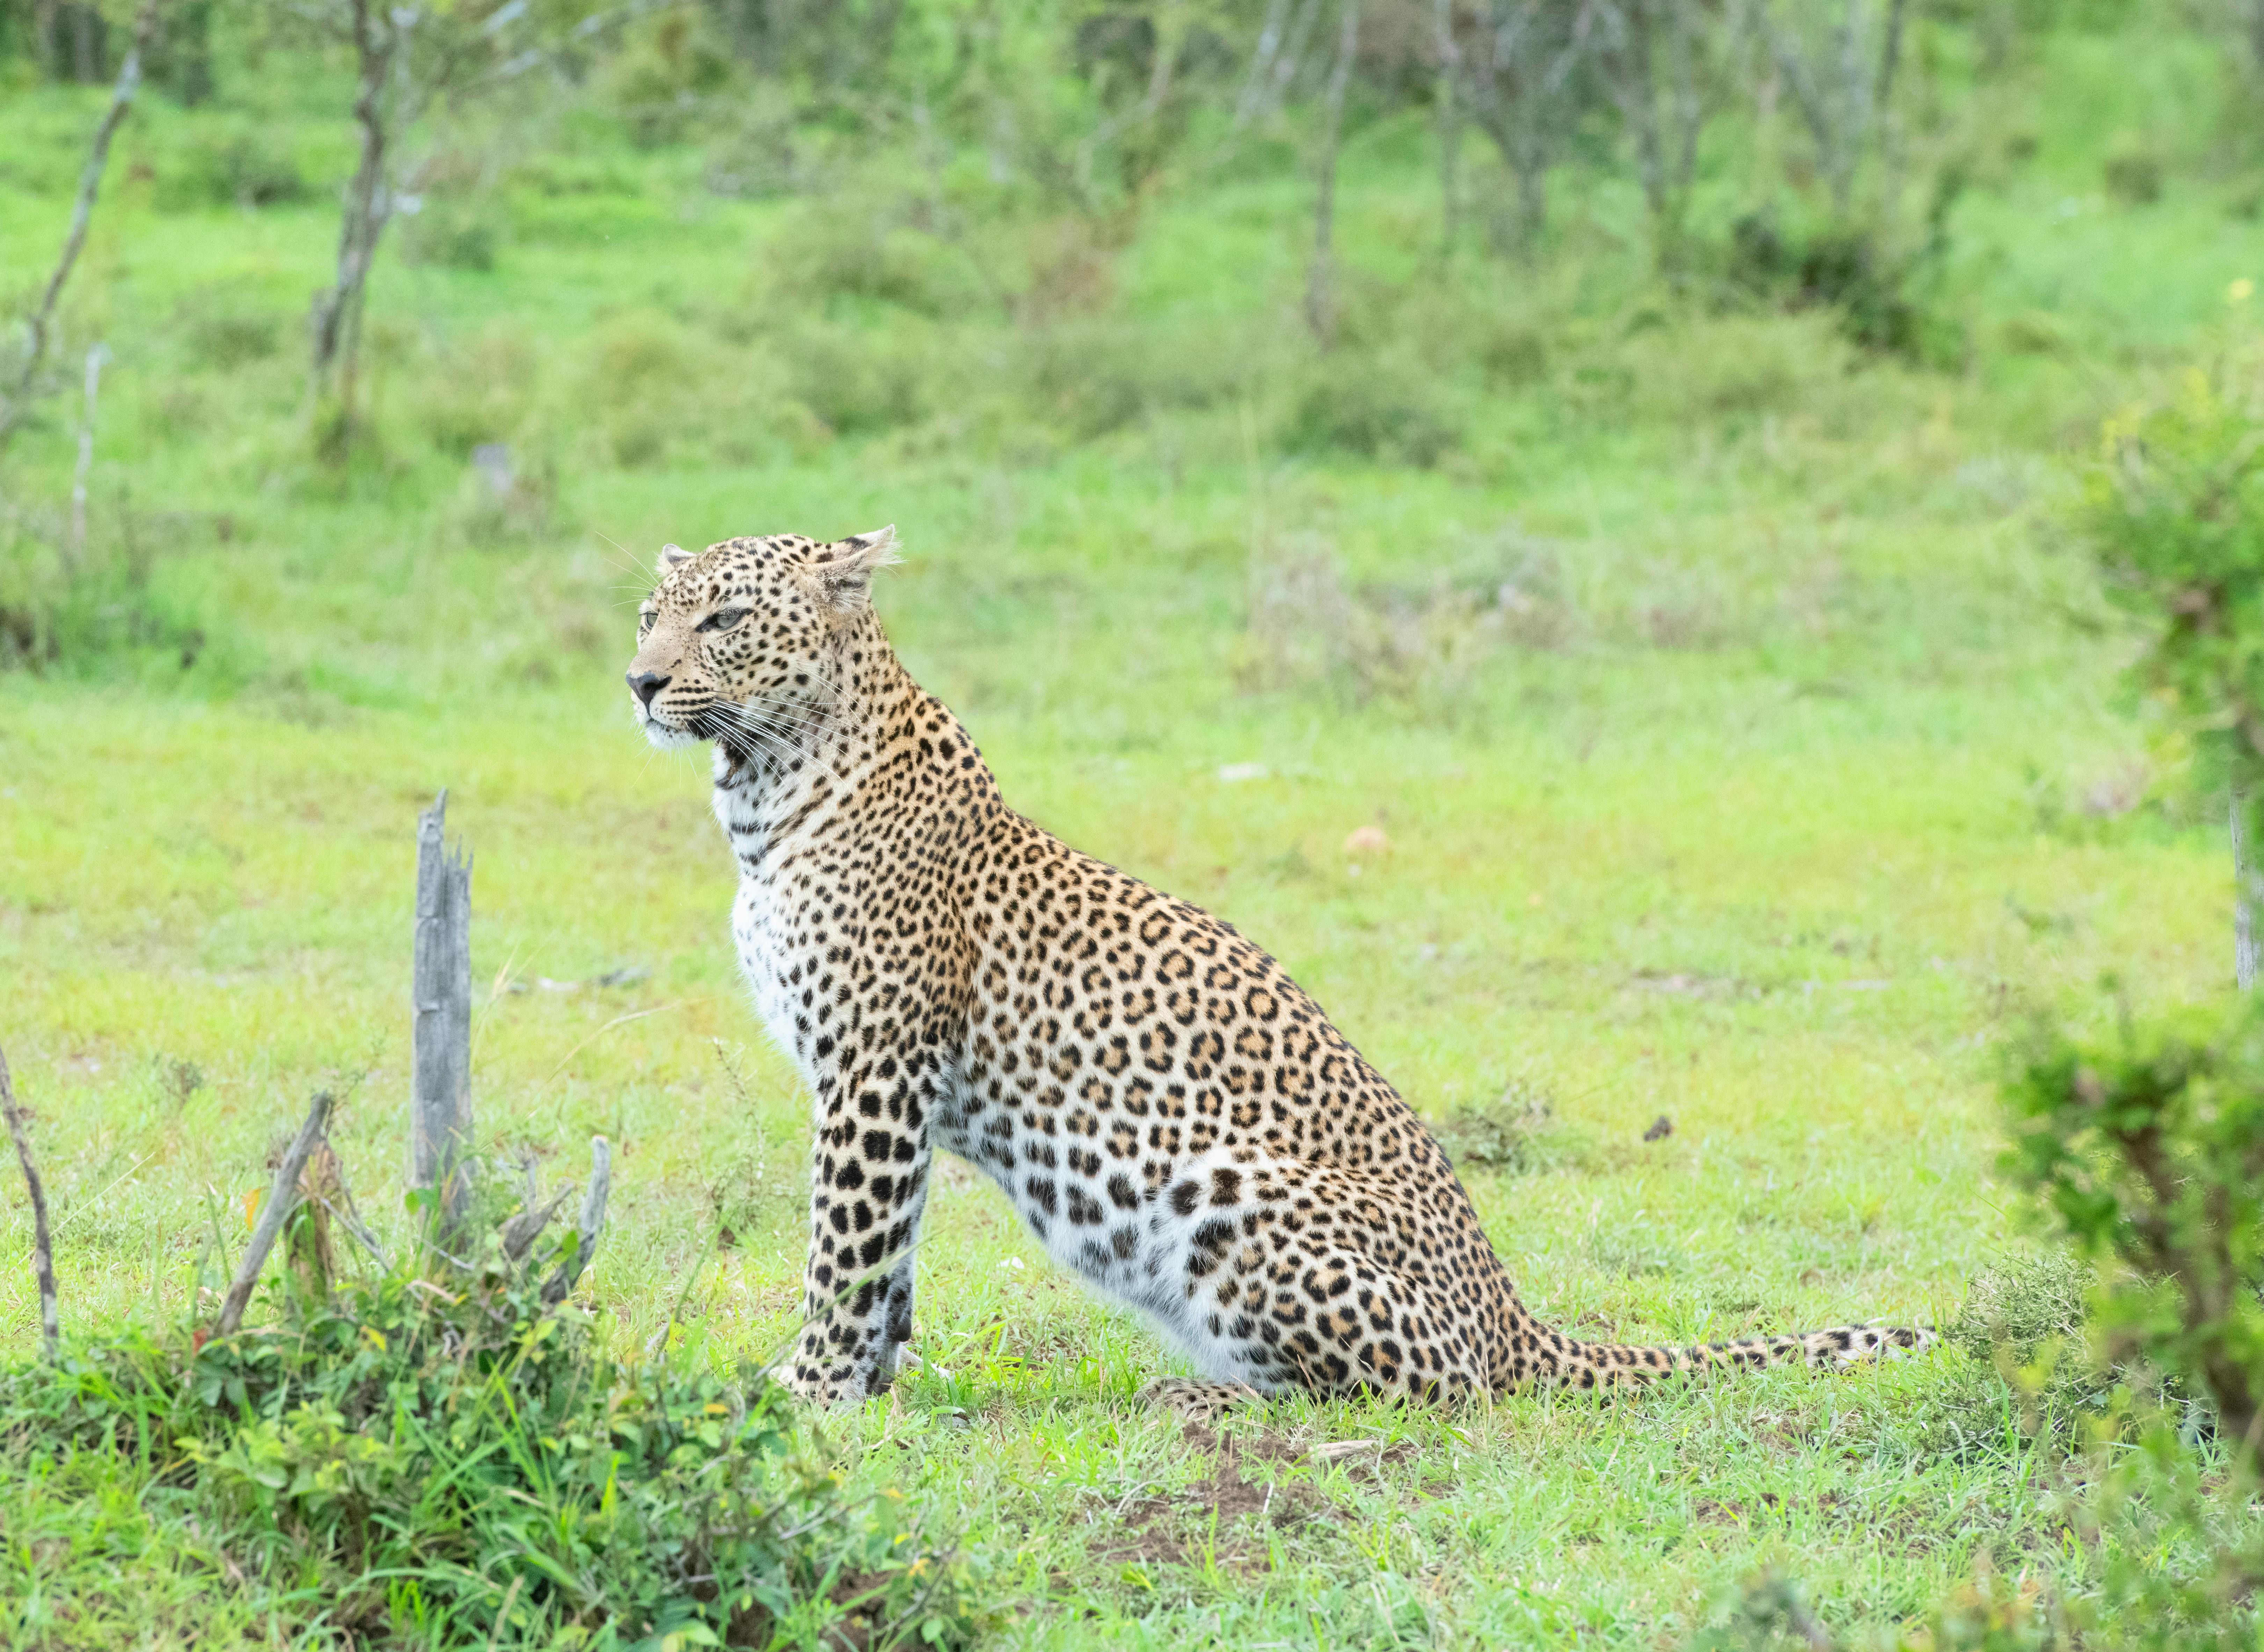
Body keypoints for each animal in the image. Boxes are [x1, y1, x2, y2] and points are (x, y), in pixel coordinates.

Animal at [626, 527, 1934, 1418]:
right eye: (649, 613)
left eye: (725, 618)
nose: (640, 681)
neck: (764, 788)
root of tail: (1516, 1314)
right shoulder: (876, 1088)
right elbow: (890, 1256)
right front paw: (874, 1386)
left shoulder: (874, 1071)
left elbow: (842, 1250)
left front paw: (808, 1390)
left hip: (1232, 1195)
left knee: (1431, 1389)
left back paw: (1202, 1399)